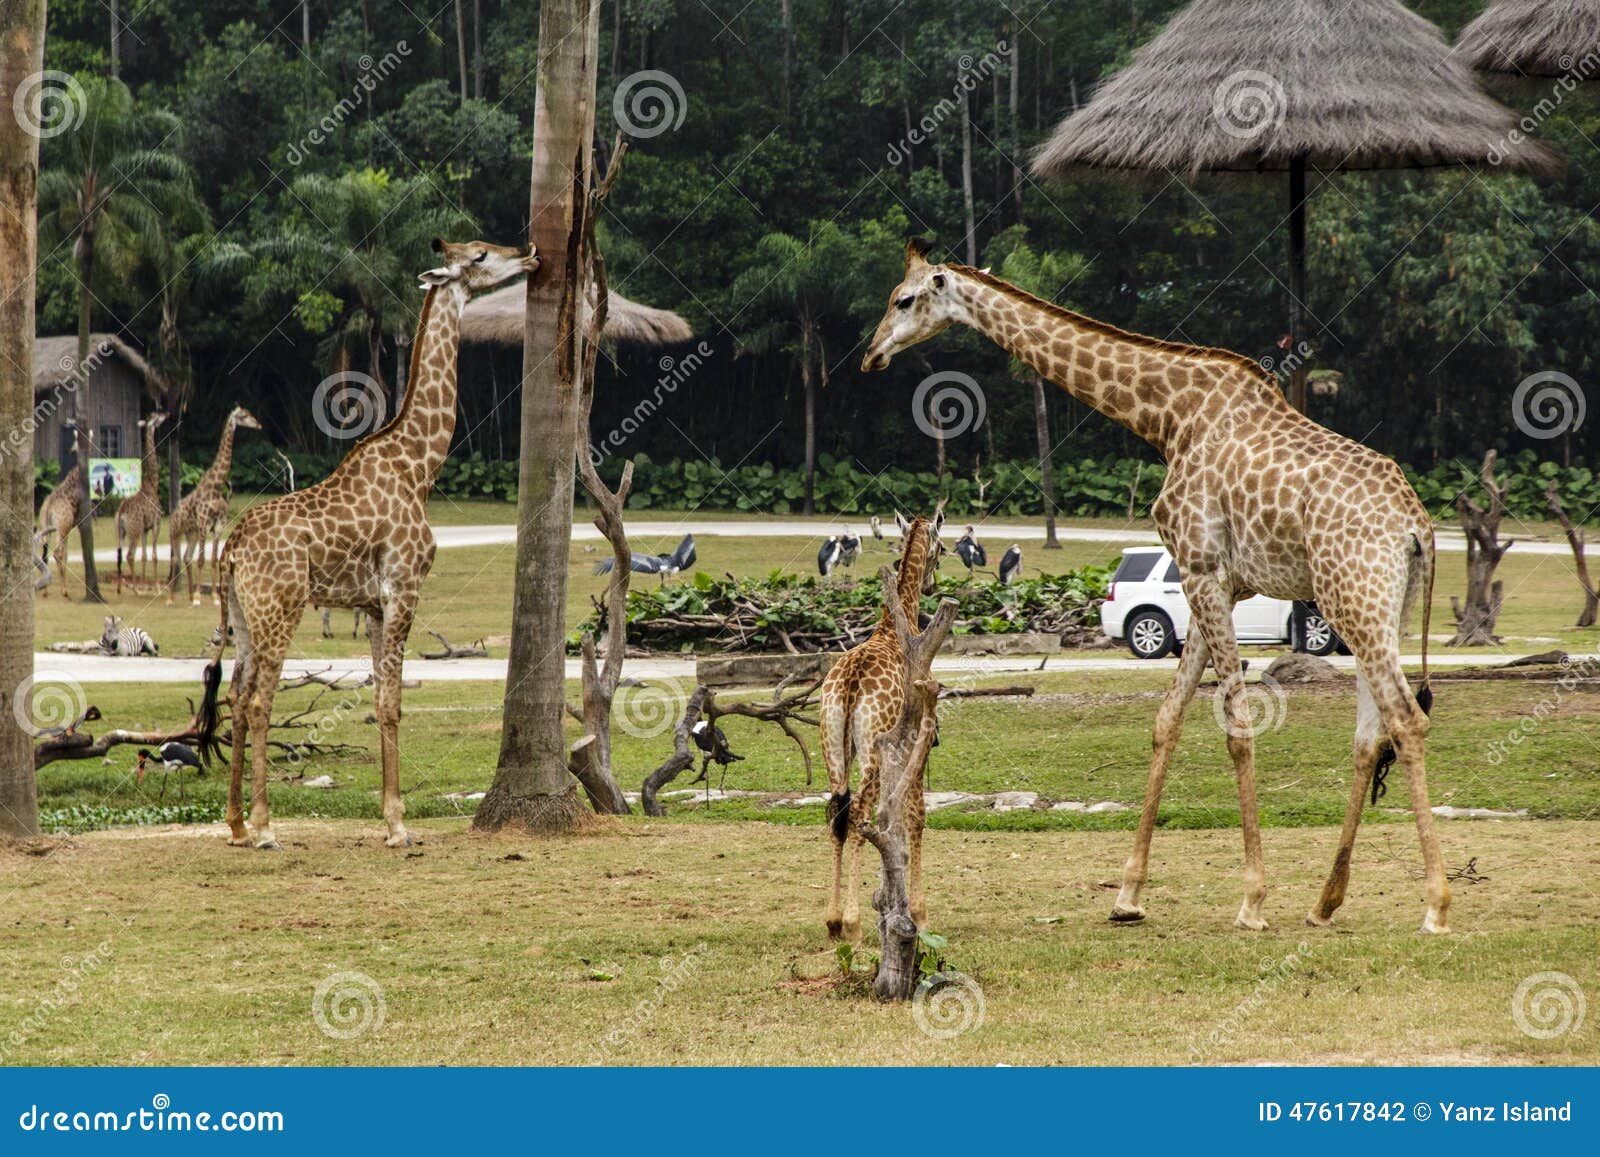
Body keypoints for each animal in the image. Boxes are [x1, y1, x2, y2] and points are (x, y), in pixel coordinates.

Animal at [115, 411, 169, 594]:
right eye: (157, 417)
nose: (167, 414)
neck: (152, 483)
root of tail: (122, 512)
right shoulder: (156, 523)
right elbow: (154, 556)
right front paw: (156, 587)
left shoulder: (146, 528)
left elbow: (145, 556)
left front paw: (146, 584)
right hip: (135, 531)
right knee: (130, 555)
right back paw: (135, 590)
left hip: (121, 532)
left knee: (120, 555)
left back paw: (123, 588)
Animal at [166, 406, 262, 606]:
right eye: (244, 415)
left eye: (249, 413)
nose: (258, 424)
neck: (216, 487)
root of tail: (174, 512)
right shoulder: (204, 523)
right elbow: (202, 560)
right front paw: (198, 597)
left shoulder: (218, 525)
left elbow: (213, 559)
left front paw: (214, 597)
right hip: (175, 531)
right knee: (175, 558)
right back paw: (171, 598)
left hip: (192, 532)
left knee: (186, 557)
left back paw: (188, 595)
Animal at [196, 239, 538, 851]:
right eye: (479, 255)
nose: (527, 256)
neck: (419, 466)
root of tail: (230, 550)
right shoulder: (405, 587)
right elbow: (393, 701)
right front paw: (399, 824)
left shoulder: (374, 604)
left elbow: (381, 699)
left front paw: (389, 816)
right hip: (281, 608)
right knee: (259, 700)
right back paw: (263, 827)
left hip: (239, 614)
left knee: (235, 693)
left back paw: (234, 823)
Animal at [820, 508, 944, 941]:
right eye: (942, 546)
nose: (933, 580)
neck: (892, 628)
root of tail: (851, 683)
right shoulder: (918, 739)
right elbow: (915, 817)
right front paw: (918, 914)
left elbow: (894, 824)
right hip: (871, 750)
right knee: (859, 814)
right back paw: (853, 923)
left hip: (833, 745)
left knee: (836, 813)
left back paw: (833, 920)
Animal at [862, 240, 1449, 934]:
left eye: (904, 299)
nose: (871, 353)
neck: (1166, 417)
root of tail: (1418, 527)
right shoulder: (1219, 583)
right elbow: (1167, 720)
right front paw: (1128, 894)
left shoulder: (1201, 567)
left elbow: (1236, 725)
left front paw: (1252, 900)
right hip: (1377, 606)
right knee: (1370, 734)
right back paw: (1326, 901)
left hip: (1352, 599)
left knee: (1406, 720)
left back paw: (1436, 905)